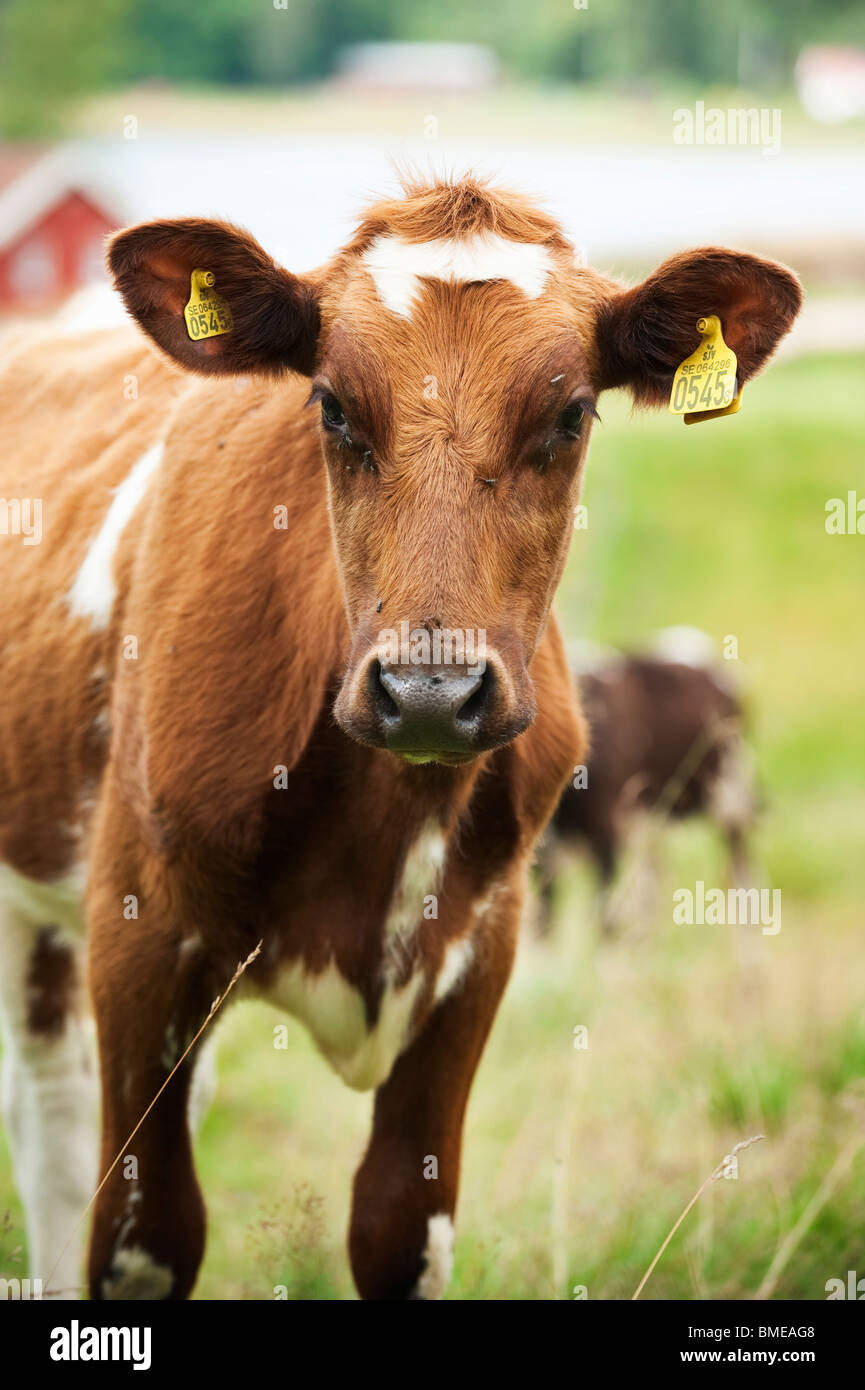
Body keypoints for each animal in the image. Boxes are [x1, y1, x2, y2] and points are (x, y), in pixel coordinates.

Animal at [535, 635, 758, 936]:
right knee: (651, 897)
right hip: (650, 826)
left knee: (742, 884)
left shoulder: (606, 835)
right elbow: (544, 927)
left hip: (730, 797)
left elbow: (608, 919)